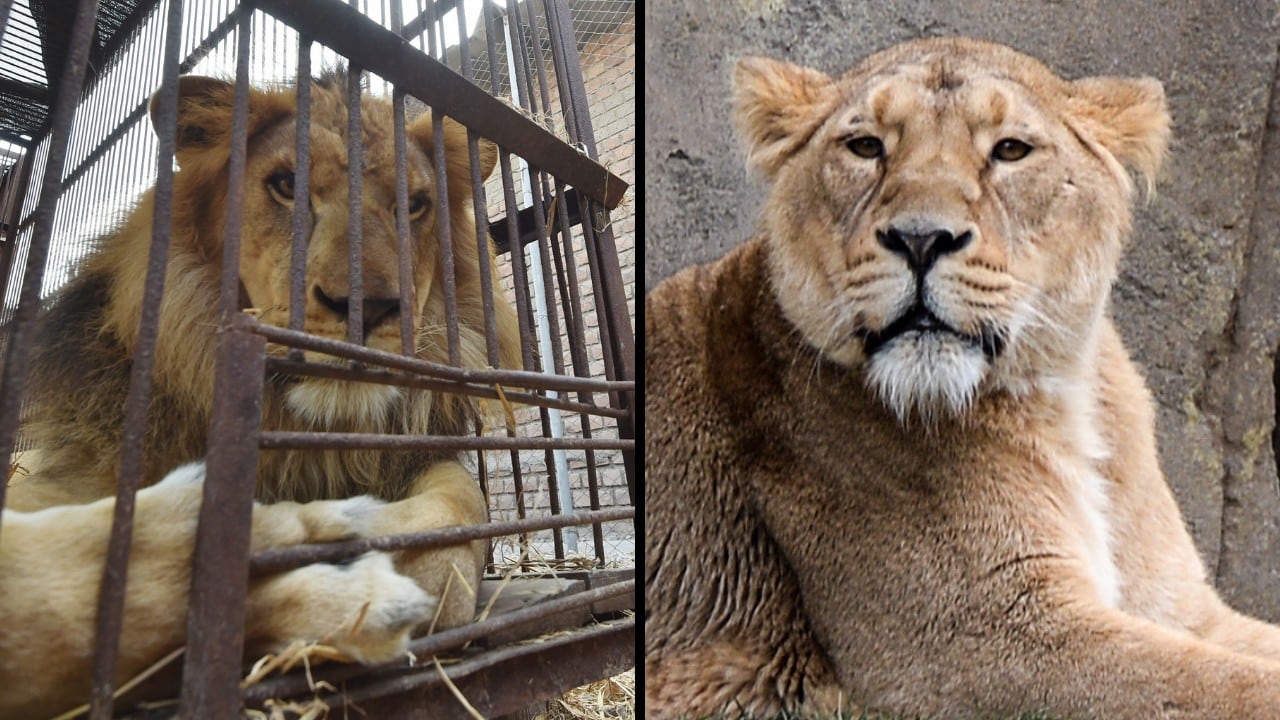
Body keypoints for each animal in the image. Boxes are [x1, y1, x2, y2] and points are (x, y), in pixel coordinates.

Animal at [645, 37, 1280, 719]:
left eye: (1011, 150)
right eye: (865, 146)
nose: (921, 238)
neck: (1063, 398)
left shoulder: (1180, 607)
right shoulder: (973, 648)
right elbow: (1225, 685)